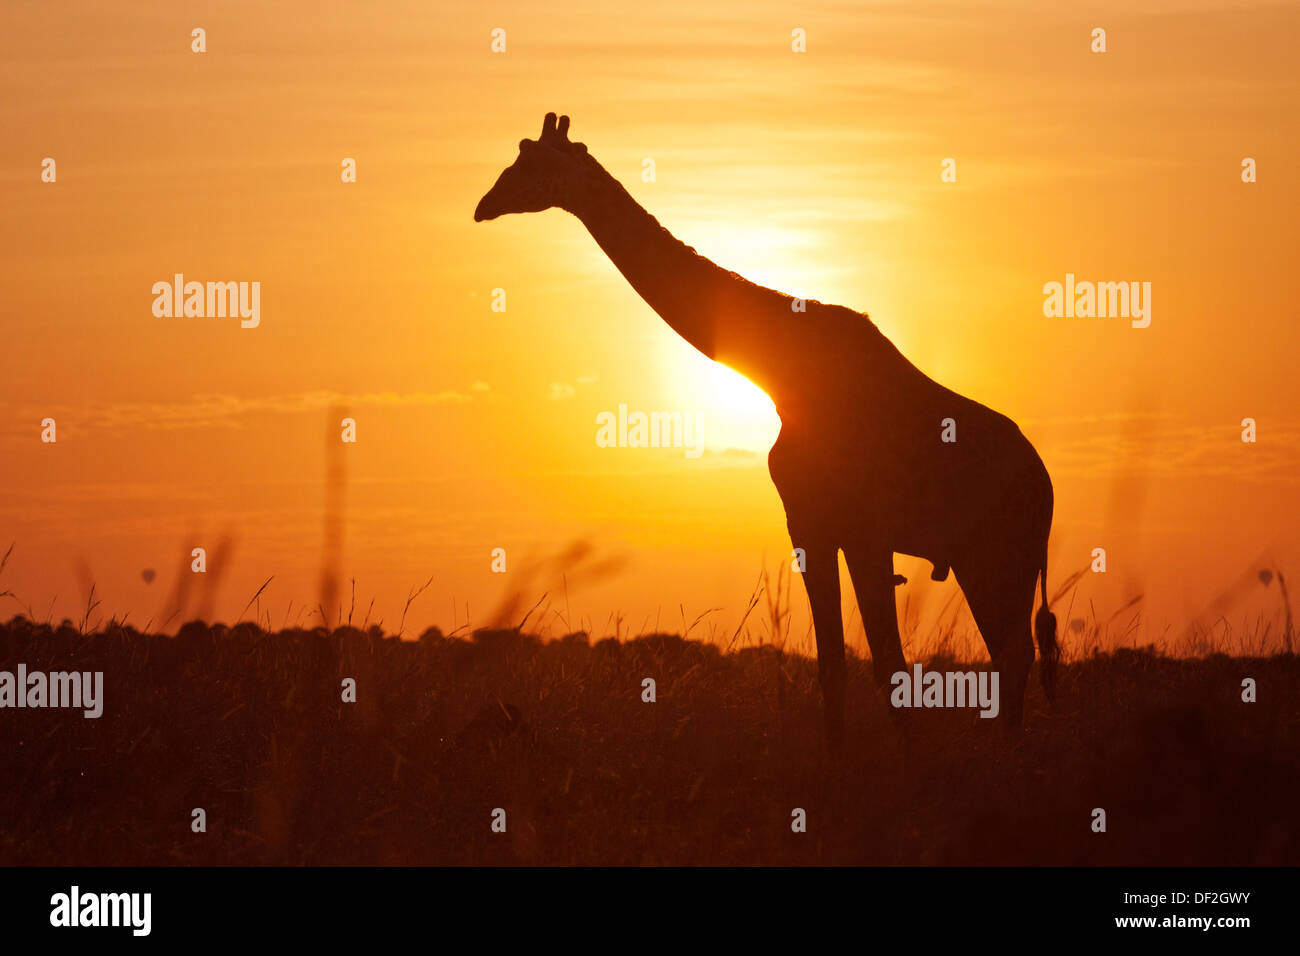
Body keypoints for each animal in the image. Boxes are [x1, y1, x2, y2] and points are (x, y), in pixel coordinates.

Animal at [474, 113, 1059, 749]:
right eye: (518, 155)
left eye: (533, 163)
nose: (484, 205)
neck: (780, 369)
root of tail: (1046, 487)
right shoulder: (814, 524)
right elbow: (837, 662)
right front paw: (839, 757)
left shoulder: (857, 527)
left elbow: (887, 662)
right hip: (985, 559)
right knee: (1012, 655)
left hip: (1001, 554)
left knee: (1014, 655)